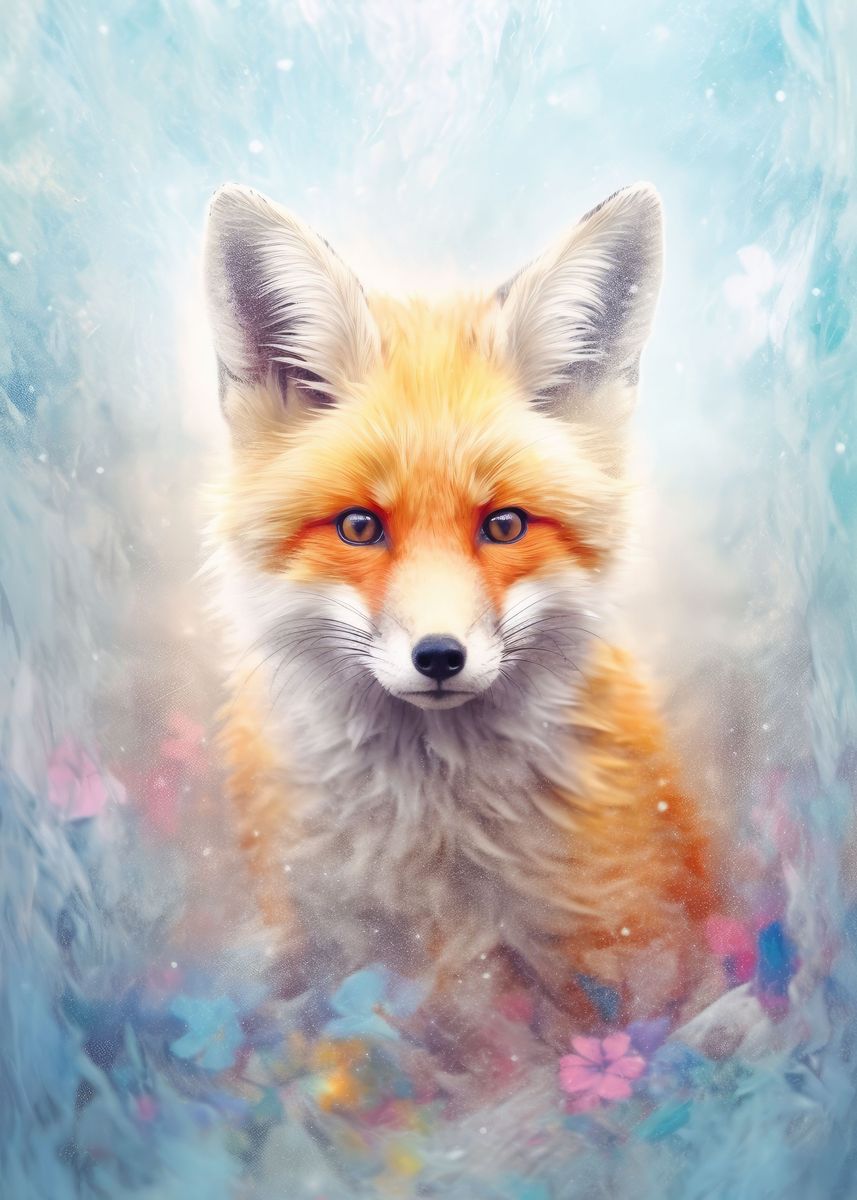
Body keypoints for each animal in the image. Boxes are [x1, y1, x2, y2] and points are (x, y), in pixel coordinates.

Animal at [203, 181, 723, 1029]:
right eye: (359, 527)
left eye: (503, 525)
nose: (440, 657)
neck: (432, 834)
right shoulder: (322, 949)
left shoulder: (615, 943)